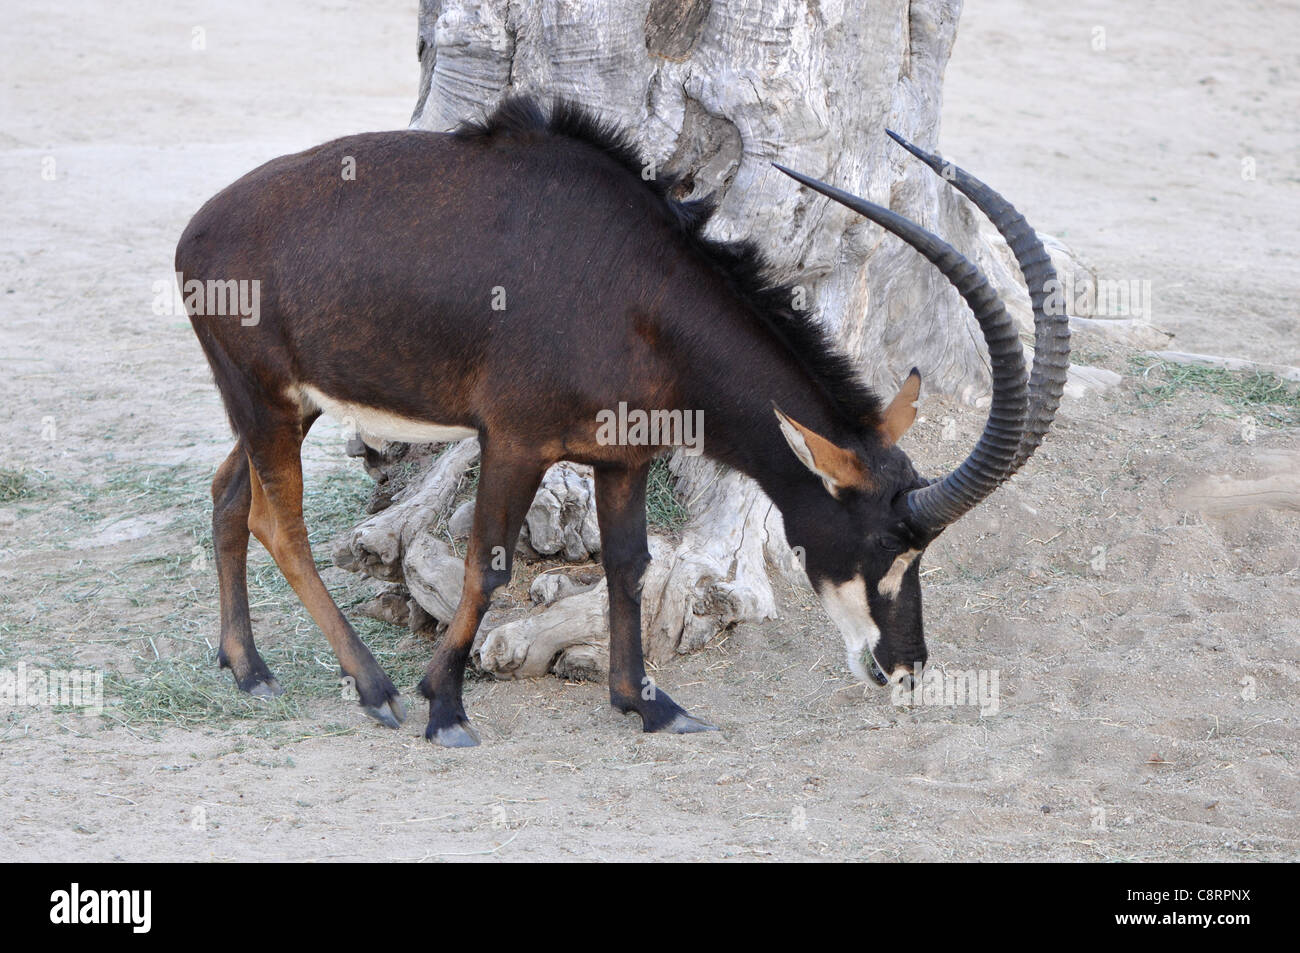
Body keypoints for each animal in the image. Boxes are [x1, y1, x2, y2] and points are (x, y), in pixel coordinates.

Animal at [177, 97, 1068, 747]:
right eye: (885, 543)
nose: (905, 668)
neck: (641, 290)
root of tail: (195, 232)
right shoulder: (515, 440)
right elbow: (488, 567)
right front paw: (446, 705)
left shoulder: (621, 456)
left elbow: (630, 565)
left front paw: (647, 702)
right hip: (266, 398)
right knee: (278, 522)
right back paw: (375, 688)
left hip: (283, 407)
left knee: (229, 494)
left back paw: (248, 667)